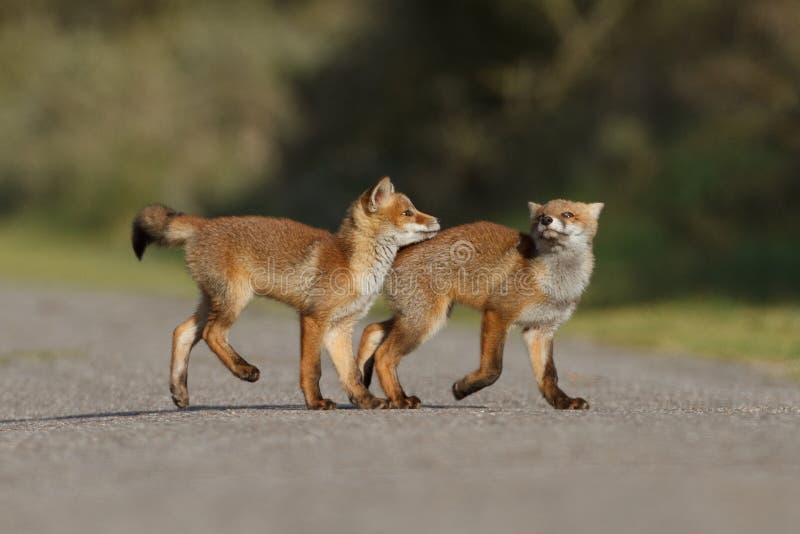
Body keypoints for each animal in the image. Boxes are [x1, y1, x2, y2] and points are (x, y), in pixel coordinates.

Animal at [131, 176, 440, 410]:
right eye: (408, 213)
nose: (437, 219)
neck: (353, 263)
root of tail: (205, 224)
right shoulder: (314, 317)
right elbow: (312, 369)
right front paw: (316, 403)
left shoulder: (340, 327)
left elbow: (350, 372)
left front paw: (367, 400)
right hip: (235, 300)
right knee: (212, 334)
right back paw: (244, 370)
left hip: (212, 302)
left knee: (181, 332)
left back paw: (180, 392)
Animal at [357, 199, 602, 409]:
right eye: (541, 216)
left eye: (567, 214)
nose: (547, 220)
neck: (555, 282)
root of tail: (399, 251)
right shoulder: (497, 312)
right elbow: (494, 369)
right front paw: (463, 389)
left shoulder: (541, 329)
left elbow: (548, 376)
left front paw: (563, 402)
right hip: (425, 320)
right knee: (384, 355)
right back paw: (399, 398)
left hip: (419, 316)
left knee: (372, 329)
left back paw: (363, 383)